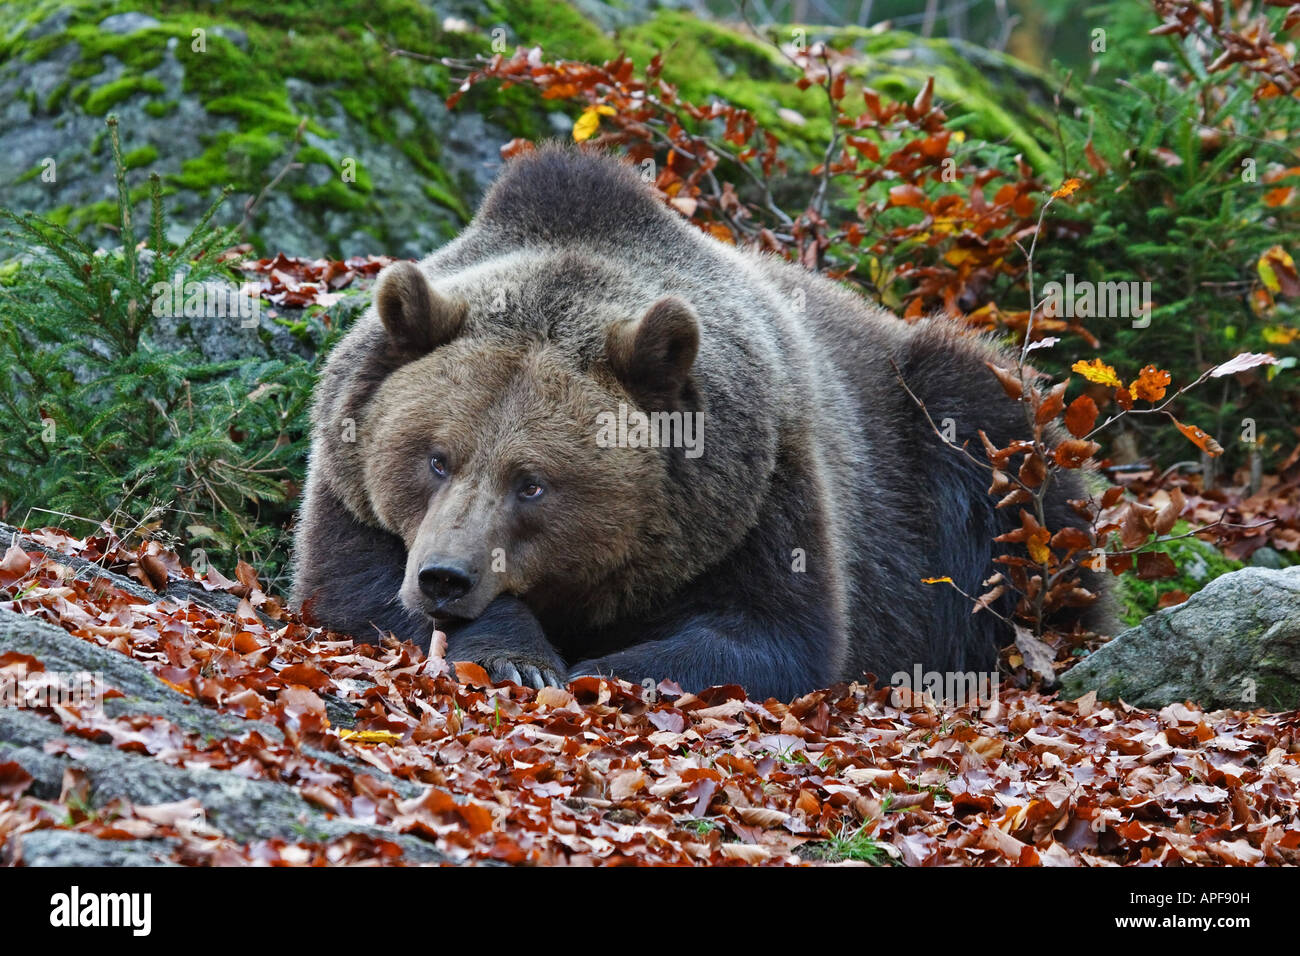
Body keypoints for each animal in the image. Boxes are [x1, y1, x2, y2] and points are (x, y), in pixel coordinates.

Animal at [291, 143, 1103, 701]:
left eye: (532, 483)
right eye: (435, 457)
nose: (444, 577)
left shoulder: (764, 485)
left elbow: (773, 635)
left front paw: (596, 666)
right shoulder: (346, 475)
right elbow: (349, 588)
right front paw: (519, 656)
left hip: (943, 431)